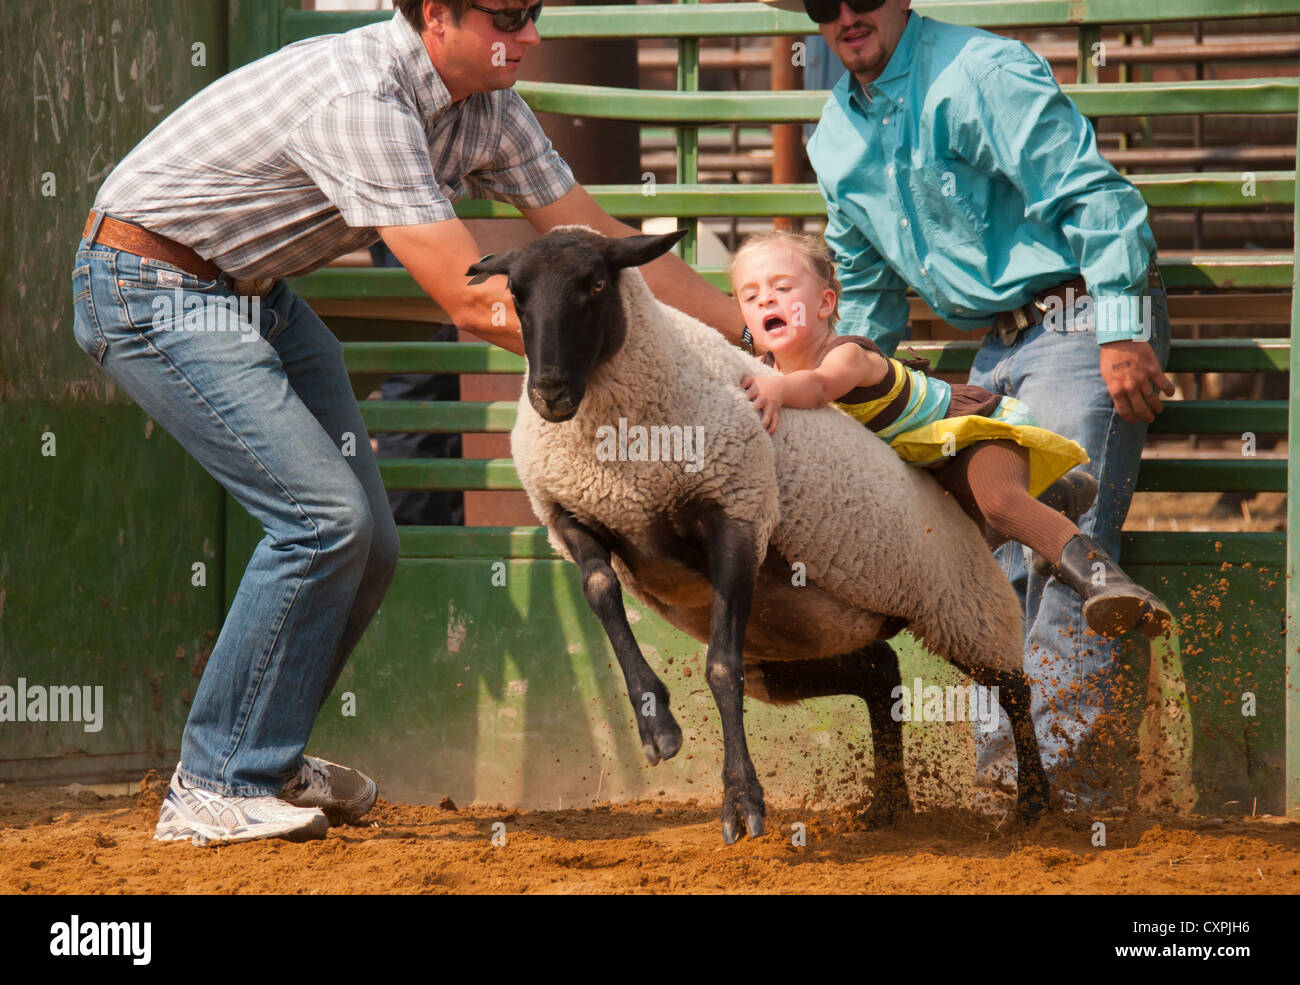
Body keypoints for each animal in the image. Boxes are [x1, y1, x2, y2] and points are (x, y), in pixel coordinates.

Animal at [466, 225, 1050, 843]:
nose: (549, 393)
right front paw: (657, 725)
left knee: (1014, 688)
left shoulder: (739, 516)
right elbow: (600, 591)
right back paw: (887, 806)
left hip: (962, 606)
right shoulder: (569, 515)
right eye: (516, 294)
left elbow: (722, 670)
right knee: (879, 672)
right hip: (799, 637)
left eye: (596, 284)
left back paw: (1035, 804)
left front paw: (741, 802)